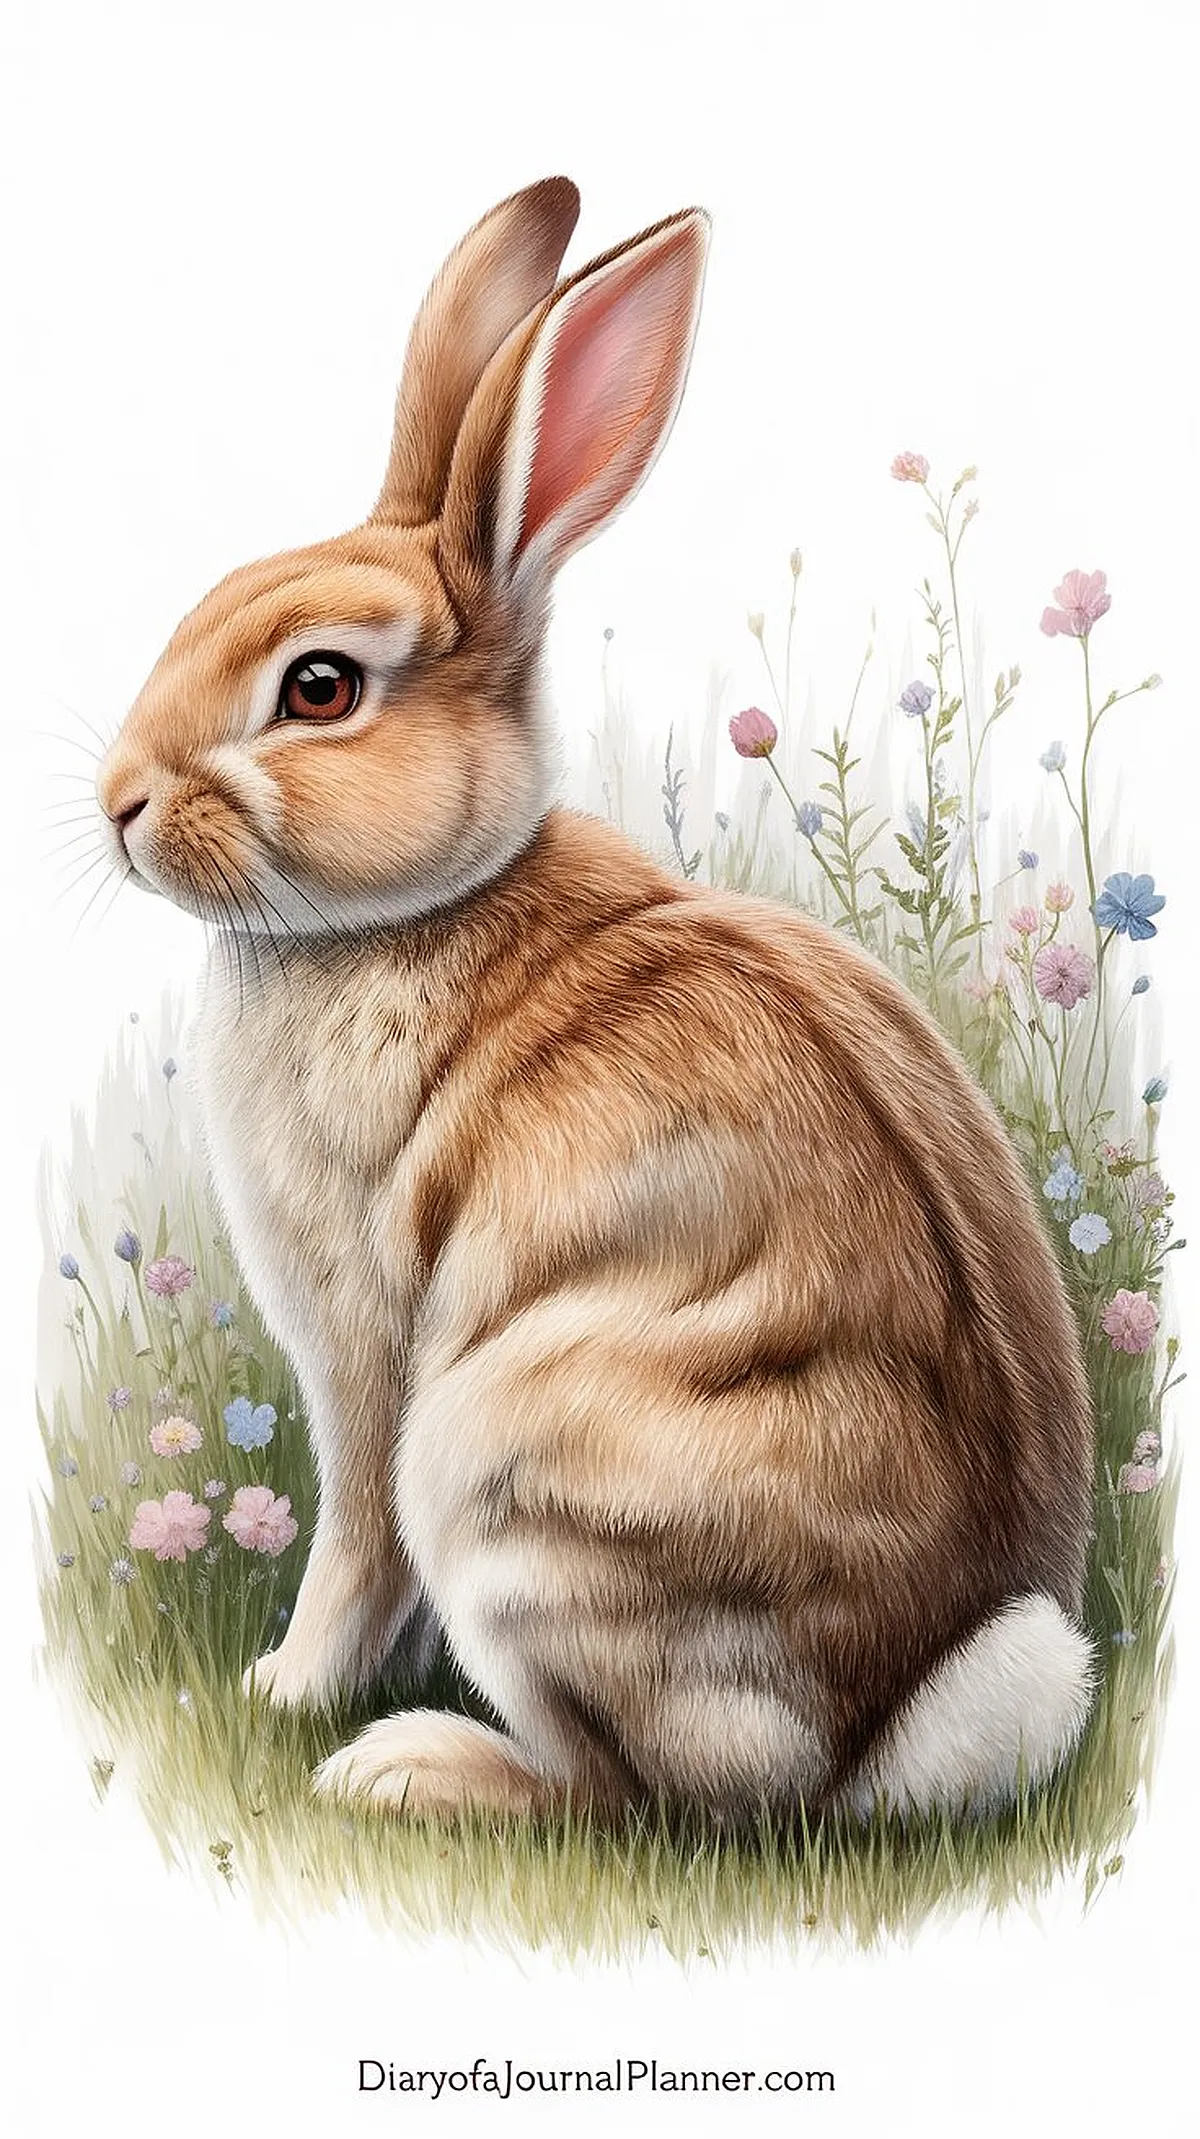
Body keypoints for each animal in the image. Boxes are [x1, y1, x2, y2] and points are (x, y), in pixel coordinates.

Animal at [96, 177, 1096, 1824]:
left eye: (318, 689)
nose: (119, 802)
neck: (413, 905)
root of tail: (895, 1729)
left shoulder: (366, 1348)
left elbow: (353, 1539)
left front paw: (282, 1688)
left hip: (505, 1476)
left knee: (636, 1795)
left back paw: (412, 1768)